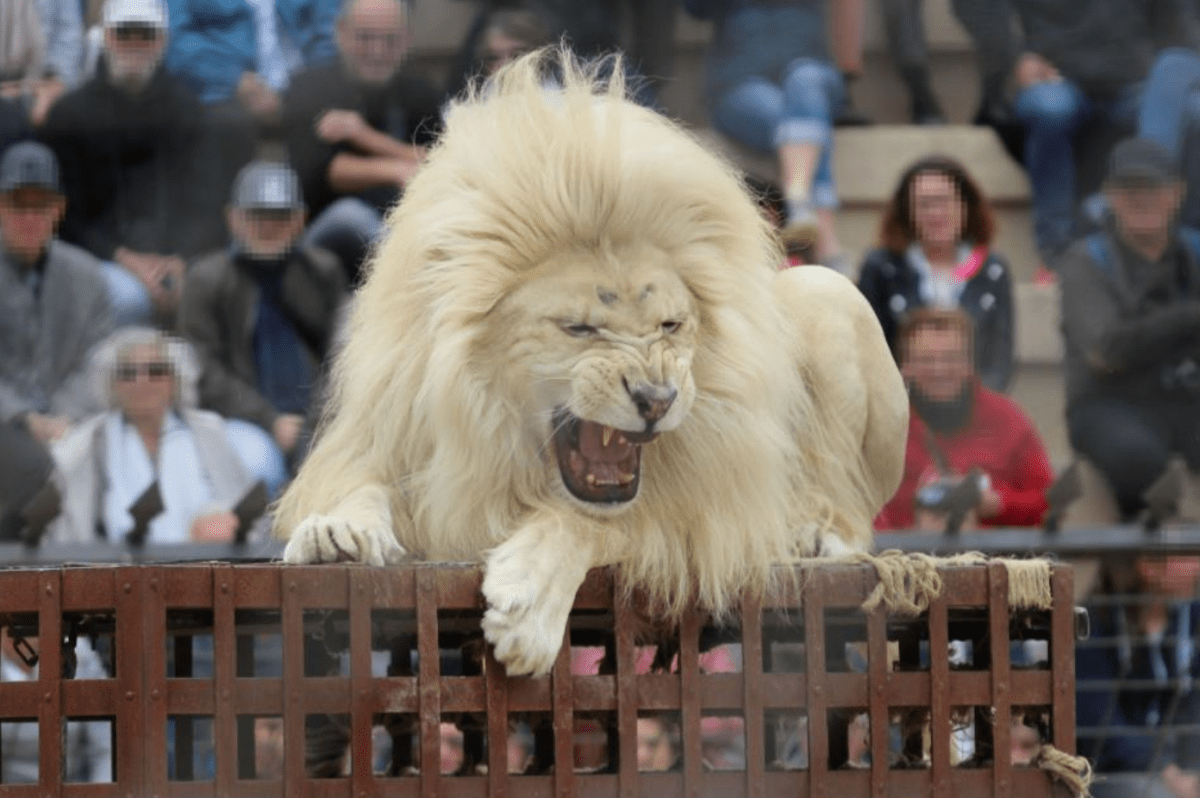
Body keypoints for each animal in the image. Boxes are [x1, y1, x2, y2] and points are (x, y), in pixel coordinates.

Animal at [275, 50, 909, 677]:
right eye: (580, 329)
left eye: (669, 326)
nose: (657, 400)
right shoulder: (398, 443)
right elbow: (362, 487)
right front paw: (337, 532)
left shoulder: (703, 515)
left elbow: (588, 521)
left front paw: (528, 610)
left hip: (825, 292)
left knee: (849, 515)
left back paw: (809, 534)